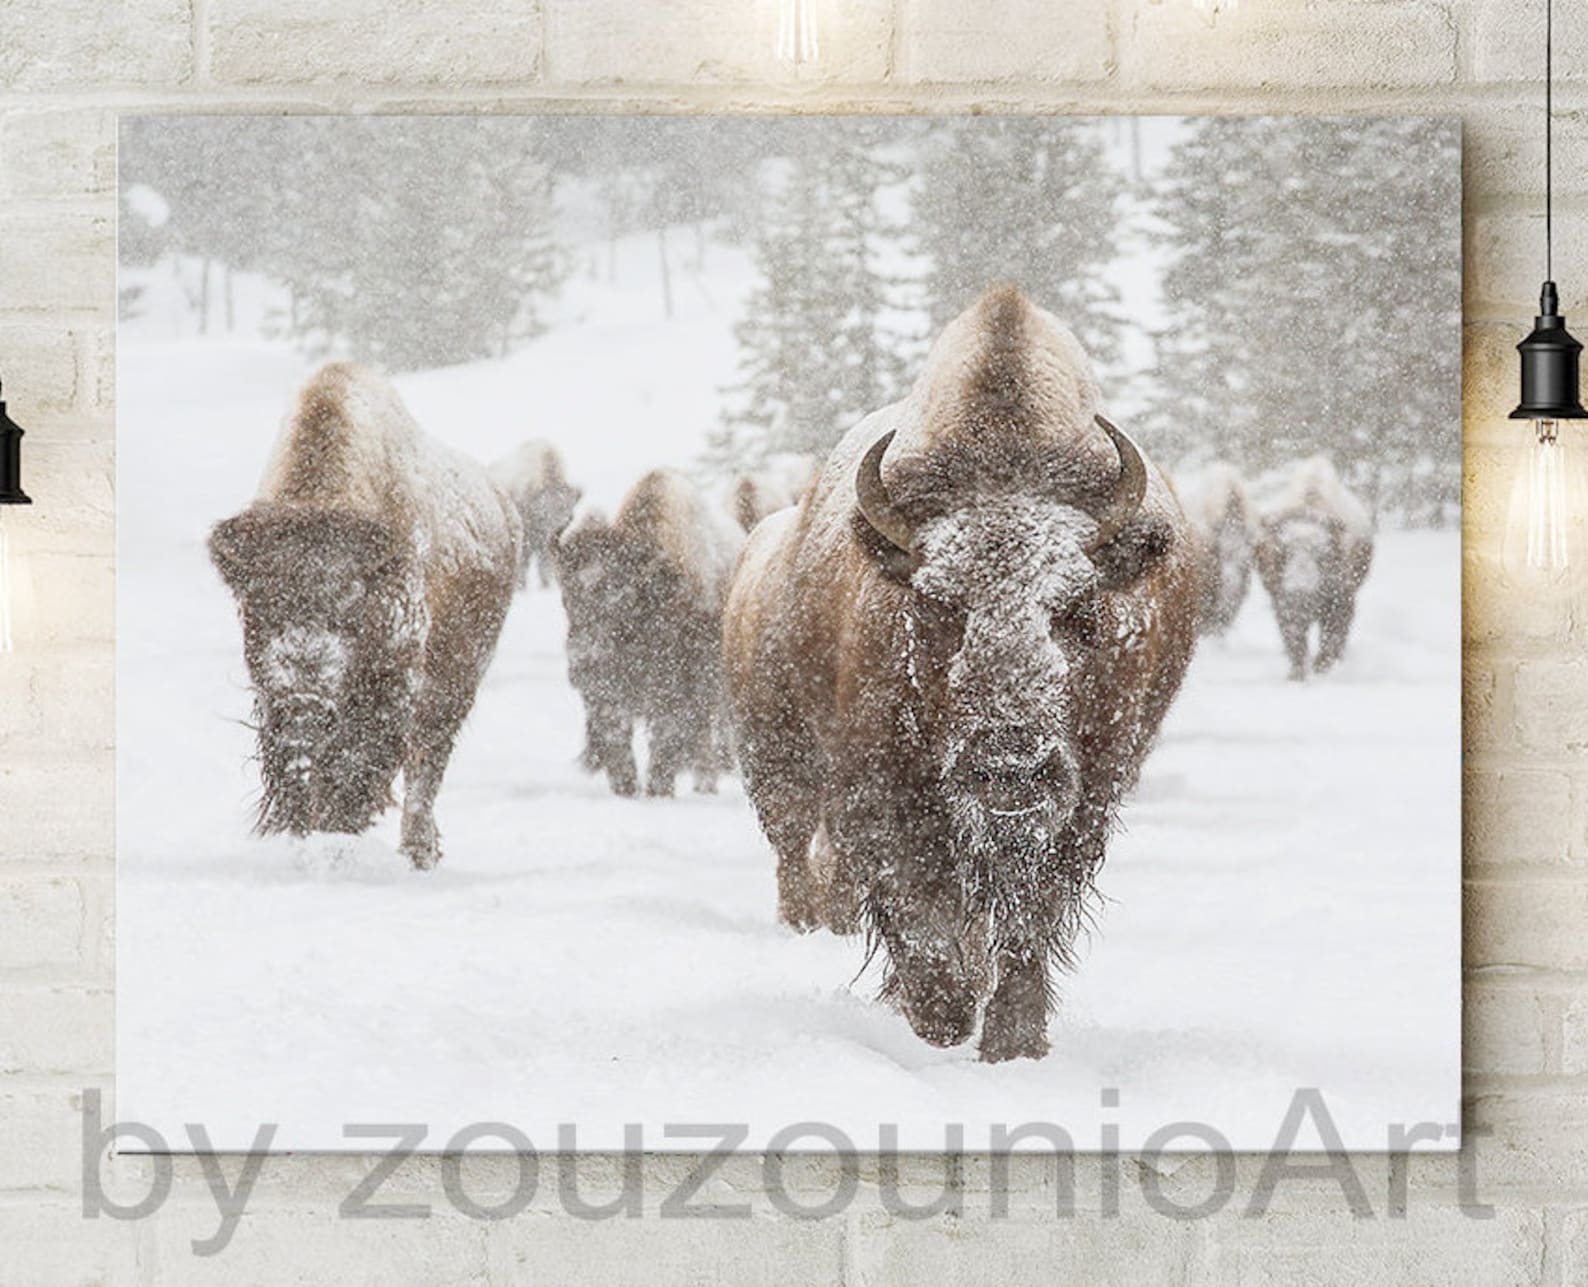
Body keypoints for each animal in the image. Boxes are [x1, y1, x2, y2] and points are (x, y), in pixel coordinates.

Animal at [208, 363, 521, 870]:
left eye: (349, 606)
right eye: (260, 604)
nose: (306, 702)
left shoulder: (395, 681)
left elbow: (363, 763)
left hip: (455, 688)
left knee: (425, 769)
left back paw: (419, 851)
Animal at [722, 287, 1200, 1062]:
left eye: (1078, 606)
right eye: (938, 601)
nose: (1009, 763)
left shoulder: (1080, 803)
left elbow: (1028, 919)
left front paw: (1014, 1041)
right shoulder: (881, 796)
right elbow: (919, 910)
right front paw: (941, 1019)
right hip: (778, 758)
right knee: (797, 850)